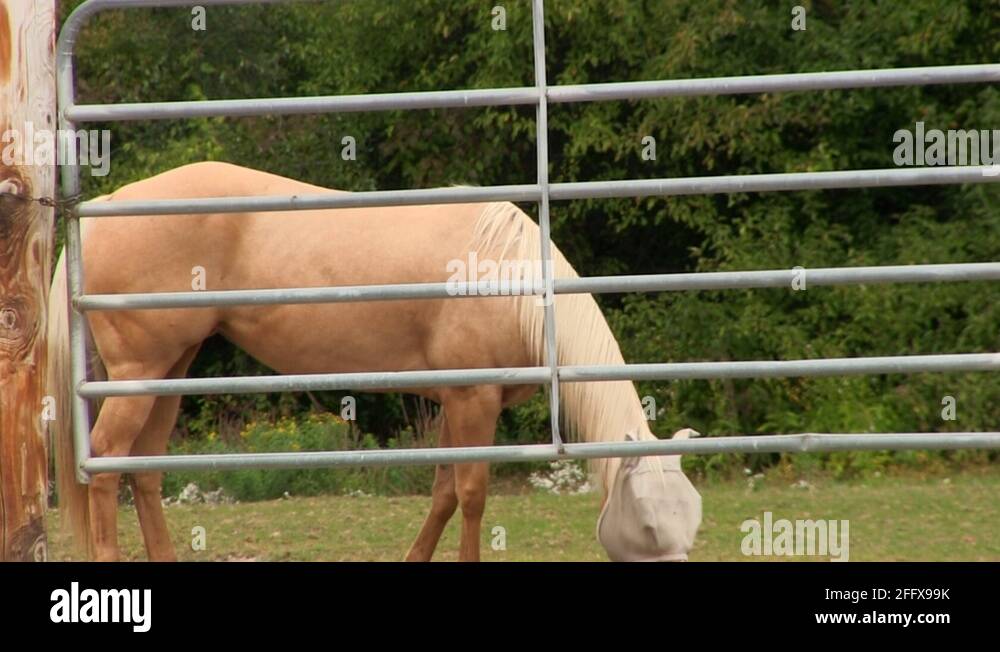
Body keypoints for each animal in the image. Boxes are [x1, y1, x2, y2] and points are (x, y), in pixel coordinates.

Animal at [46, 161, 702, 562]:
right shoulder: (474, 402)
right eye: (648, 525)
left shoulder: (454, 402)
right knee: (106, 463)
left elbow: (443, 493)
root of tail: (101, 207)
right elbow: (471, 495)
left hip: (171, 370)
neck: (507, 276)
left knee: (145, 470)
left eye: (691, 520)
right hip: (139, 376)